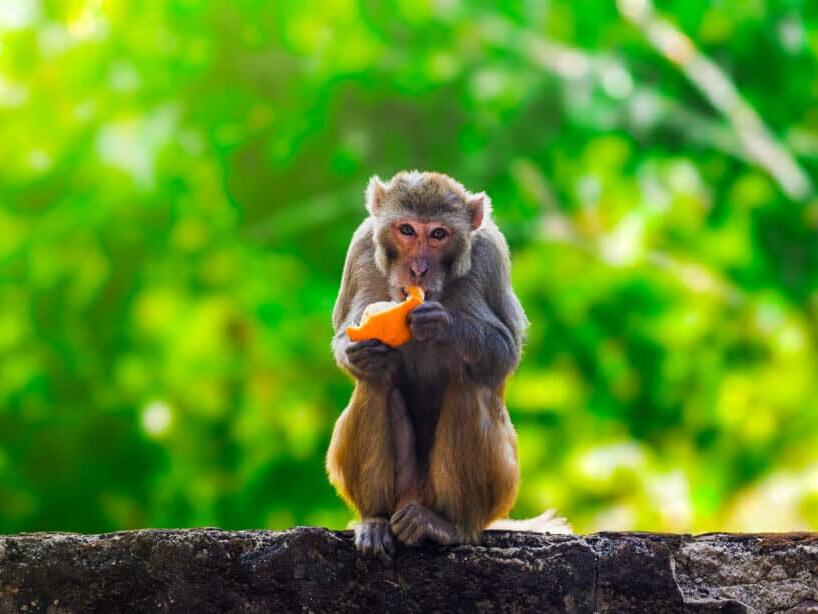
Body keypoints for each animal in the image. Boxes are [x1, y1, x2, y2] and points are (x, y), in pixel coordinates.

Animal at [326, 171, 567, 560]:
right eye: (406, 230)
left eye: (439, 234)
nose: (418, 269)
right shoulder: (360, 247)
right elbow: (346, 332)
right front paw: (358, 351)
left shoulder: (491, 254)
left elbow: (506, 350)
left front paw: (443, 326)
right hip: (405, 487)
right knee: (375, 382)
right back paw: (375, 520)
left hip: (495, 490)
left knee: (466, 380)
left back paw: (447, 526)